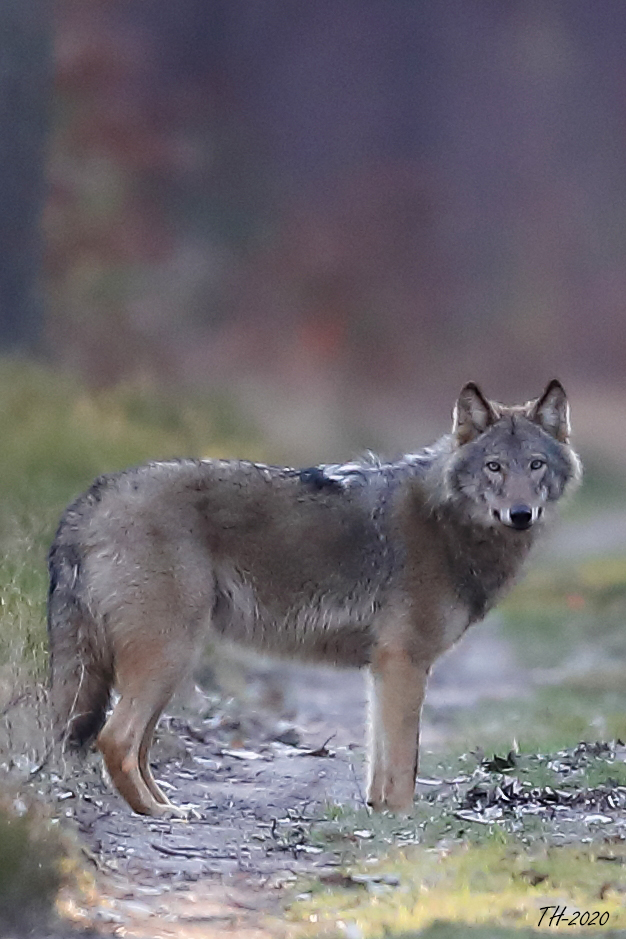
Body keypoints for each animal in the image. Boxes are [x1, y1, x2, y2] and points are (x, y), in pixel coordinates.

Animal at [48, 380, 581, 816]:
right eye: (494, 467)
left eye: (535, 465)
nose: (520, 514)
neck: (448, 525)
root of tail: (91, 497)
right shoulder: (405, 661)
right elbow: (404, 759)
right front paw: (405, 821)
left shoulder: (383, 667)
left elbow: (380, 757)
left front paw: (379, 811)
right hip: (168, 657)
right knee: (115, 740)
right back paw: (158, 814)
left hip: (169, 664)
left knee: (134, 746)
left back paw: (168, 806)